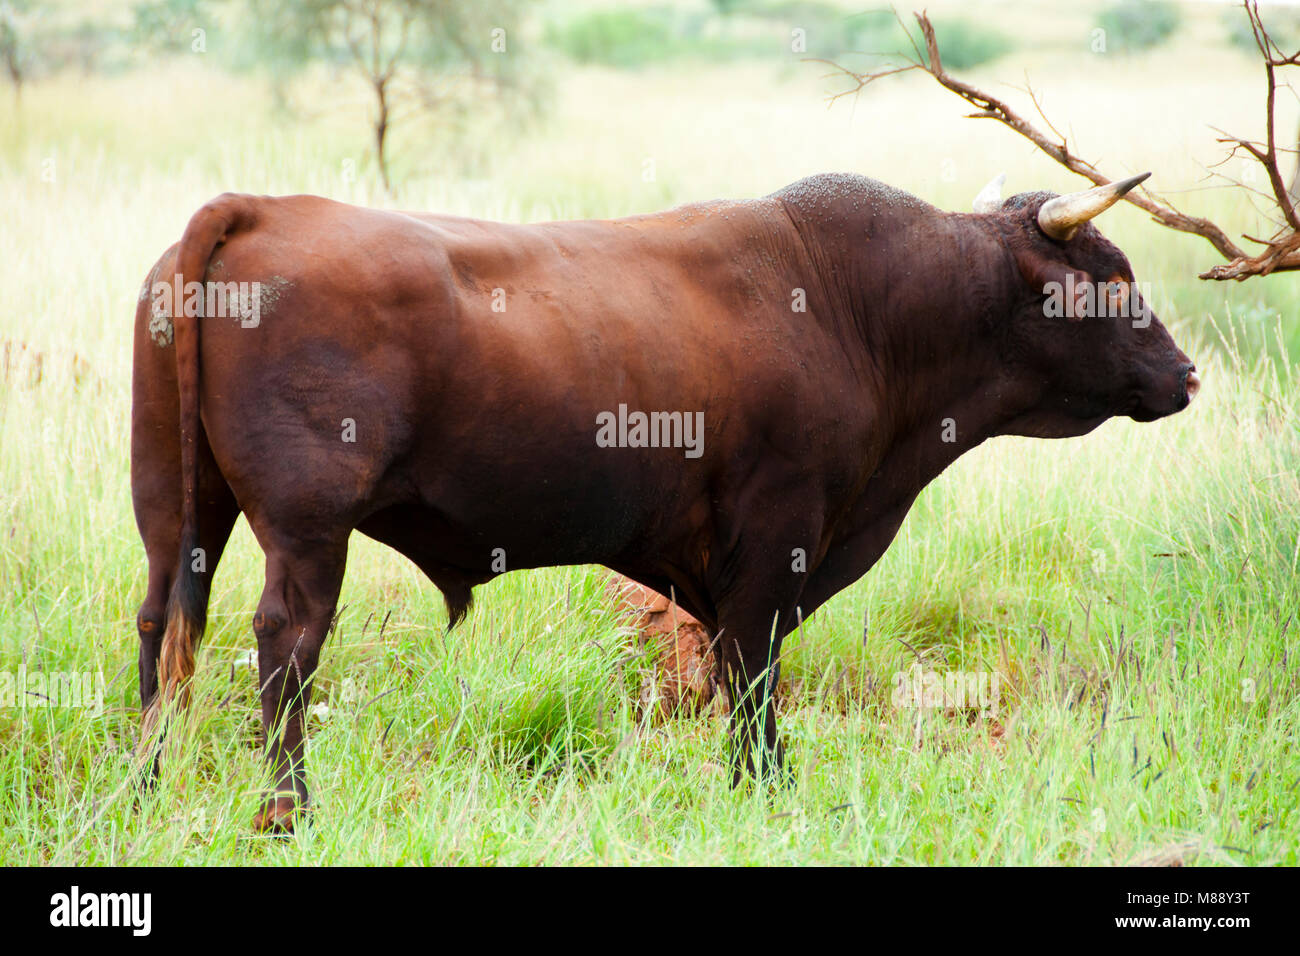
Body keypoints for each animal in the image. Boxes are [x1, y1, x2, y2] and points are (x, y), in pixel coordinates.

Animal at [131, 170, 1197, 832]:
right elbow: (756, 677)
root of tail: (259, 208)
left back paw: (142, 787)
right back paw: (288, 810)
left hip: (177, 513)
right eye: (1108, 280)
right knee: (285, 642)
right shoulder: (774, 543)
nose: (1185, 375)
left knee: (161, 626)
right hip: (307, 529)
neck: (855, 306)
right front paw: (766, 791)